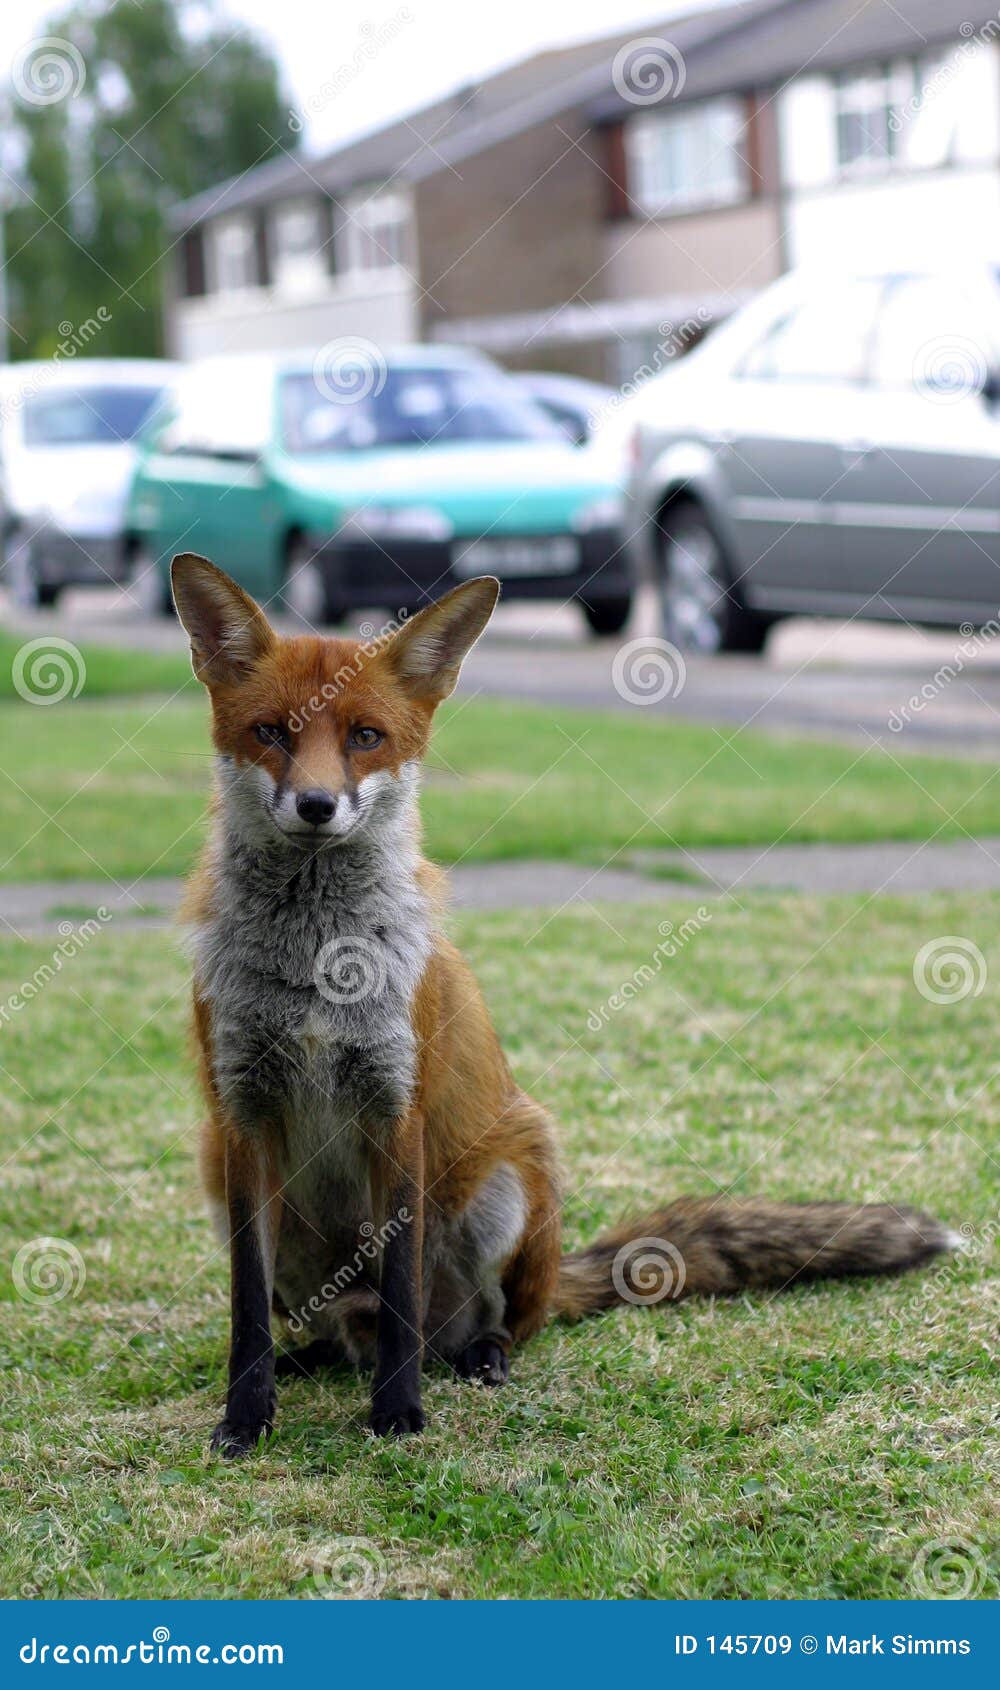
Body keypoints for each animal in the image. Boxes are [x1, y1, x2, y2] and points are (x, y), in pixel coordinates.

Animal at [171, 552, 956, 1456]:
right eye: (272, 732)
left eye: (366, 736)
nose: (316, 806)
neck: (314, 970)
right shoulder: (241, 1114)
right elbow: (246, 1313)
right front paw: (245, 1418)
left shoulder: (396, 1105)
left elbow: (401, 1295)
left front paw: (398, 1416)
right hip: (222, 1173)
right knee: (339, 1329)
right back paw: (315, 1361)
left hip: (512, 1181)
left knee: (477, 1324)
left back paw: (478, 1358)